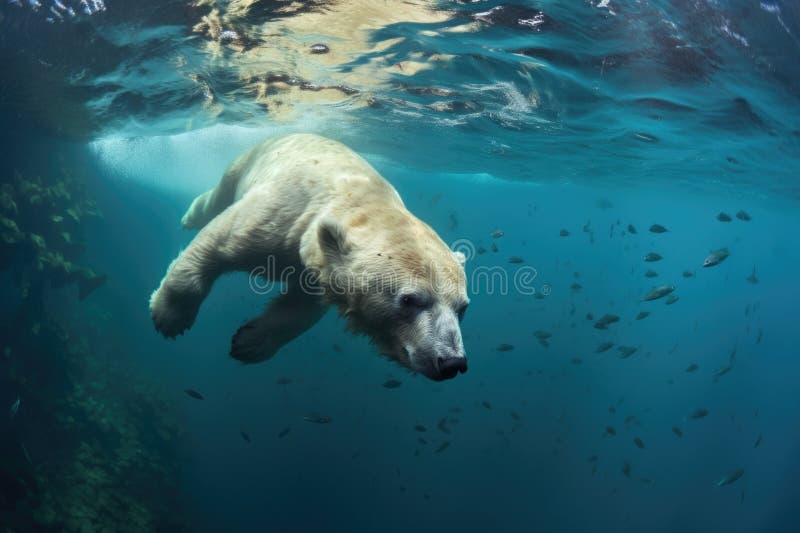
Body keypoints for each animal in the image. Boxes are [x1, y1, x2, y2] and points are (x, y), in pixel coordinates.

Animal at [150, 134, 469, 381]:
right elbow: (220, 241)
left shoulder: (316, 269)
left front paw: (250, 343)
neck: (355, 196)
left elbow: (300, 308)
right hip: (247, 162)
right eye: (410, 299)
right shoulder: (282, 216)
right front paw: (169, 316)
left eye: (462, 308)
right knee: (219, 195)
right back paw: (191, 216)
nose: (452, 363)